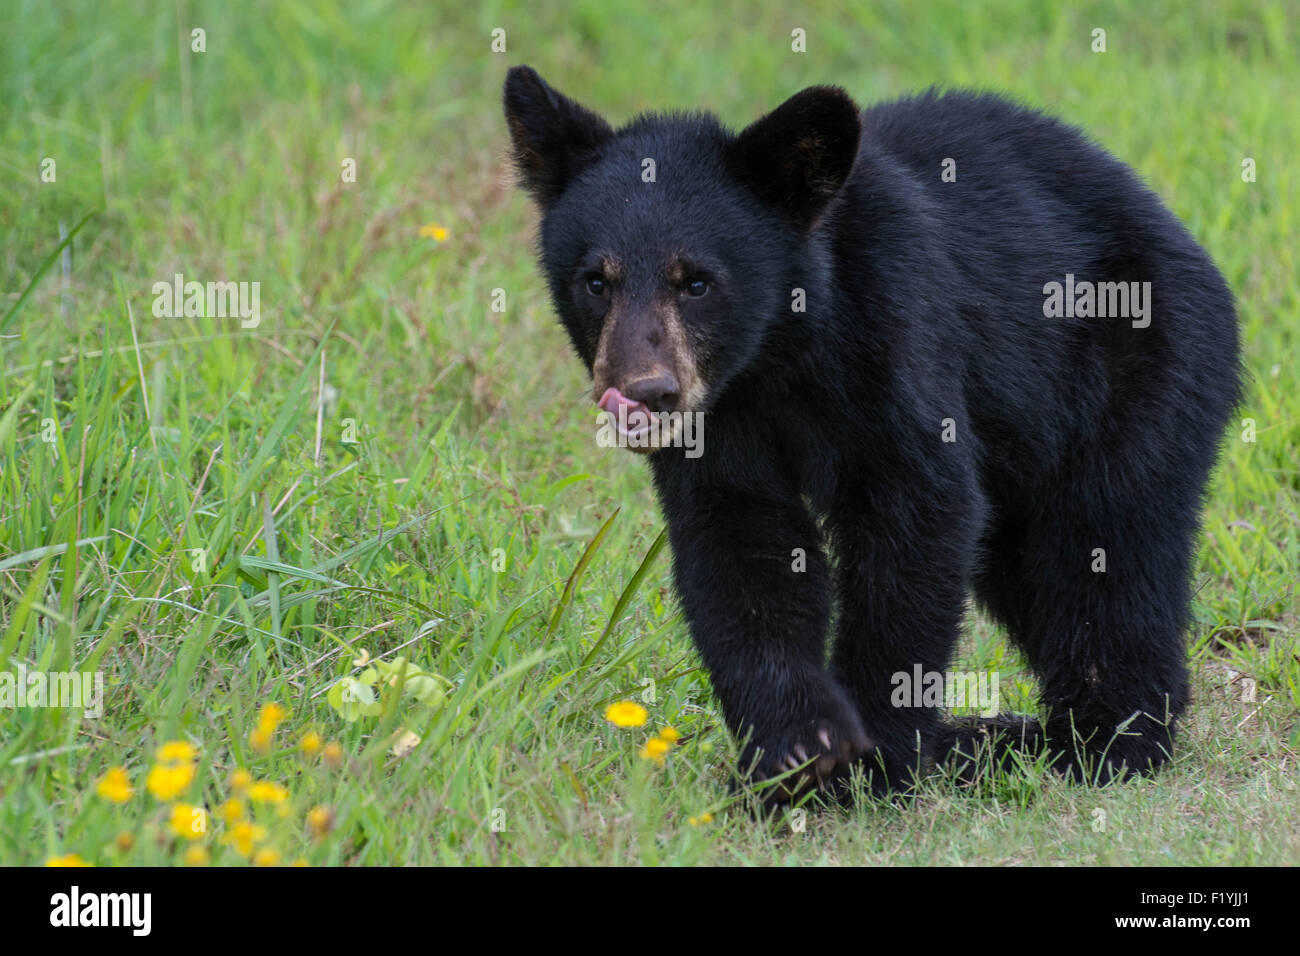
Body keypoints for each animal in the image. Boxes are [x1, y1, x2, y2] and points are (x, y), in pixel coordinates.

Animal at [503, 65, 1240, 805]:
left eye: (698, 282)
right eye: (596, 281)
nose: (646, 395)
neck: (781, 353)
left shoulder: (894, 337)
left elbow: (918, 515)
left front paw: (873, 763)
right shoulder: (721, 419)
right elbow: (742, 545)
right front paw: (795, 751)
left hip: (1138, 368)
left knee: (1108, 548)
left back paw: (1086, 741)